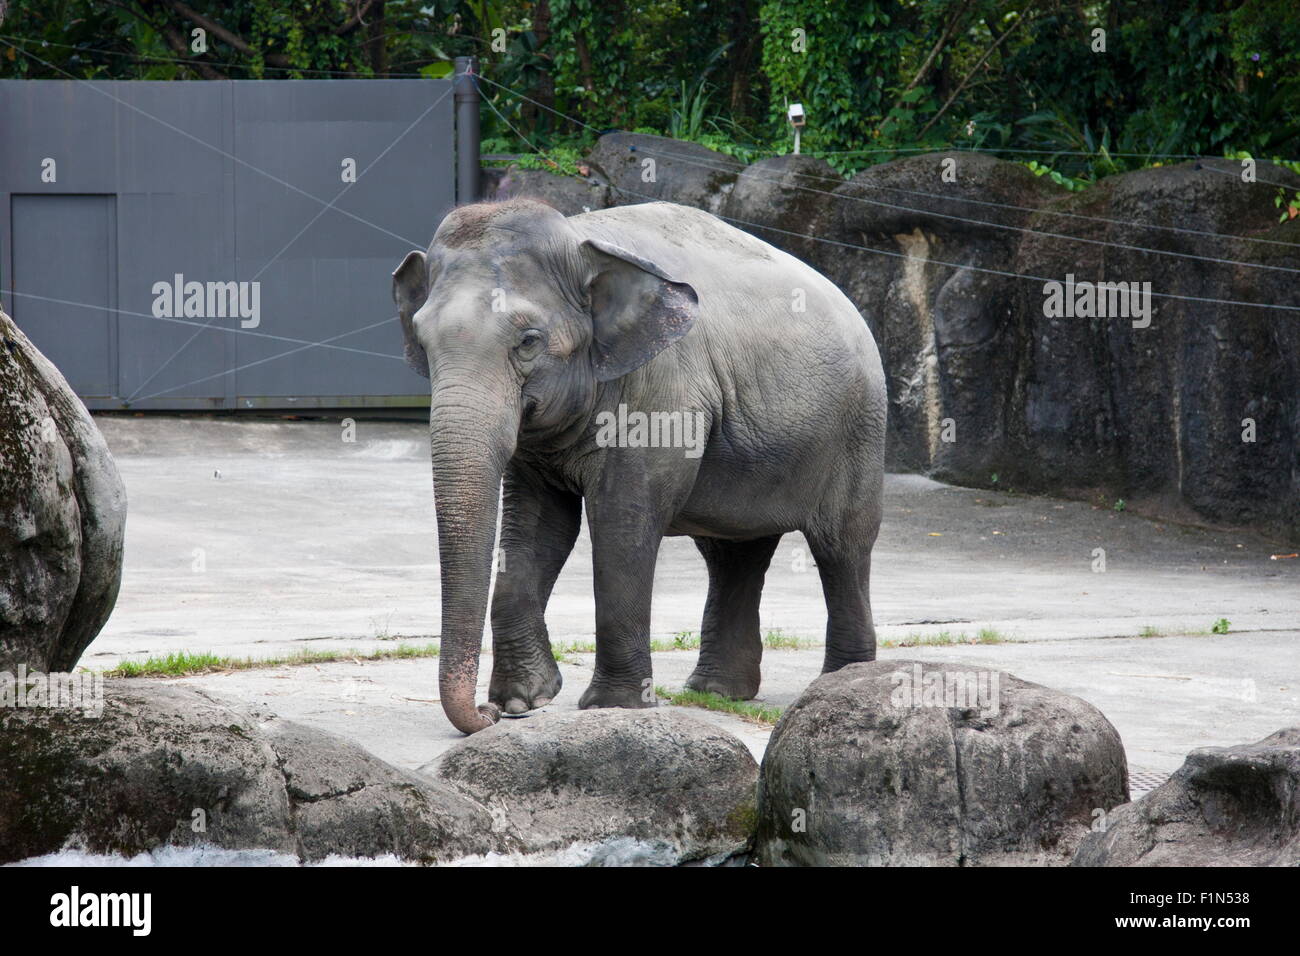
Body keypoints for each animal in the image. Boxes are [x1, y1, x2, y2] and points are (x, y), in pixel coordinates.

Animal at [392, 198, 887, 735]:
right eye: (422, 342)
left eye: (528, 341)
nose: (486, 715)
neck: (578, 241)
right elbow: (539, 529)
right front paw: (525, 701)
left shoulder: (659, 391)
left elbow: (622, 523)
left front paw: (614, 706)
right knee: (733, 553)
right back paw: (716, 691)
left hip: (857, 431)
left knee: (842, 547)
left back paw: (839, 684)